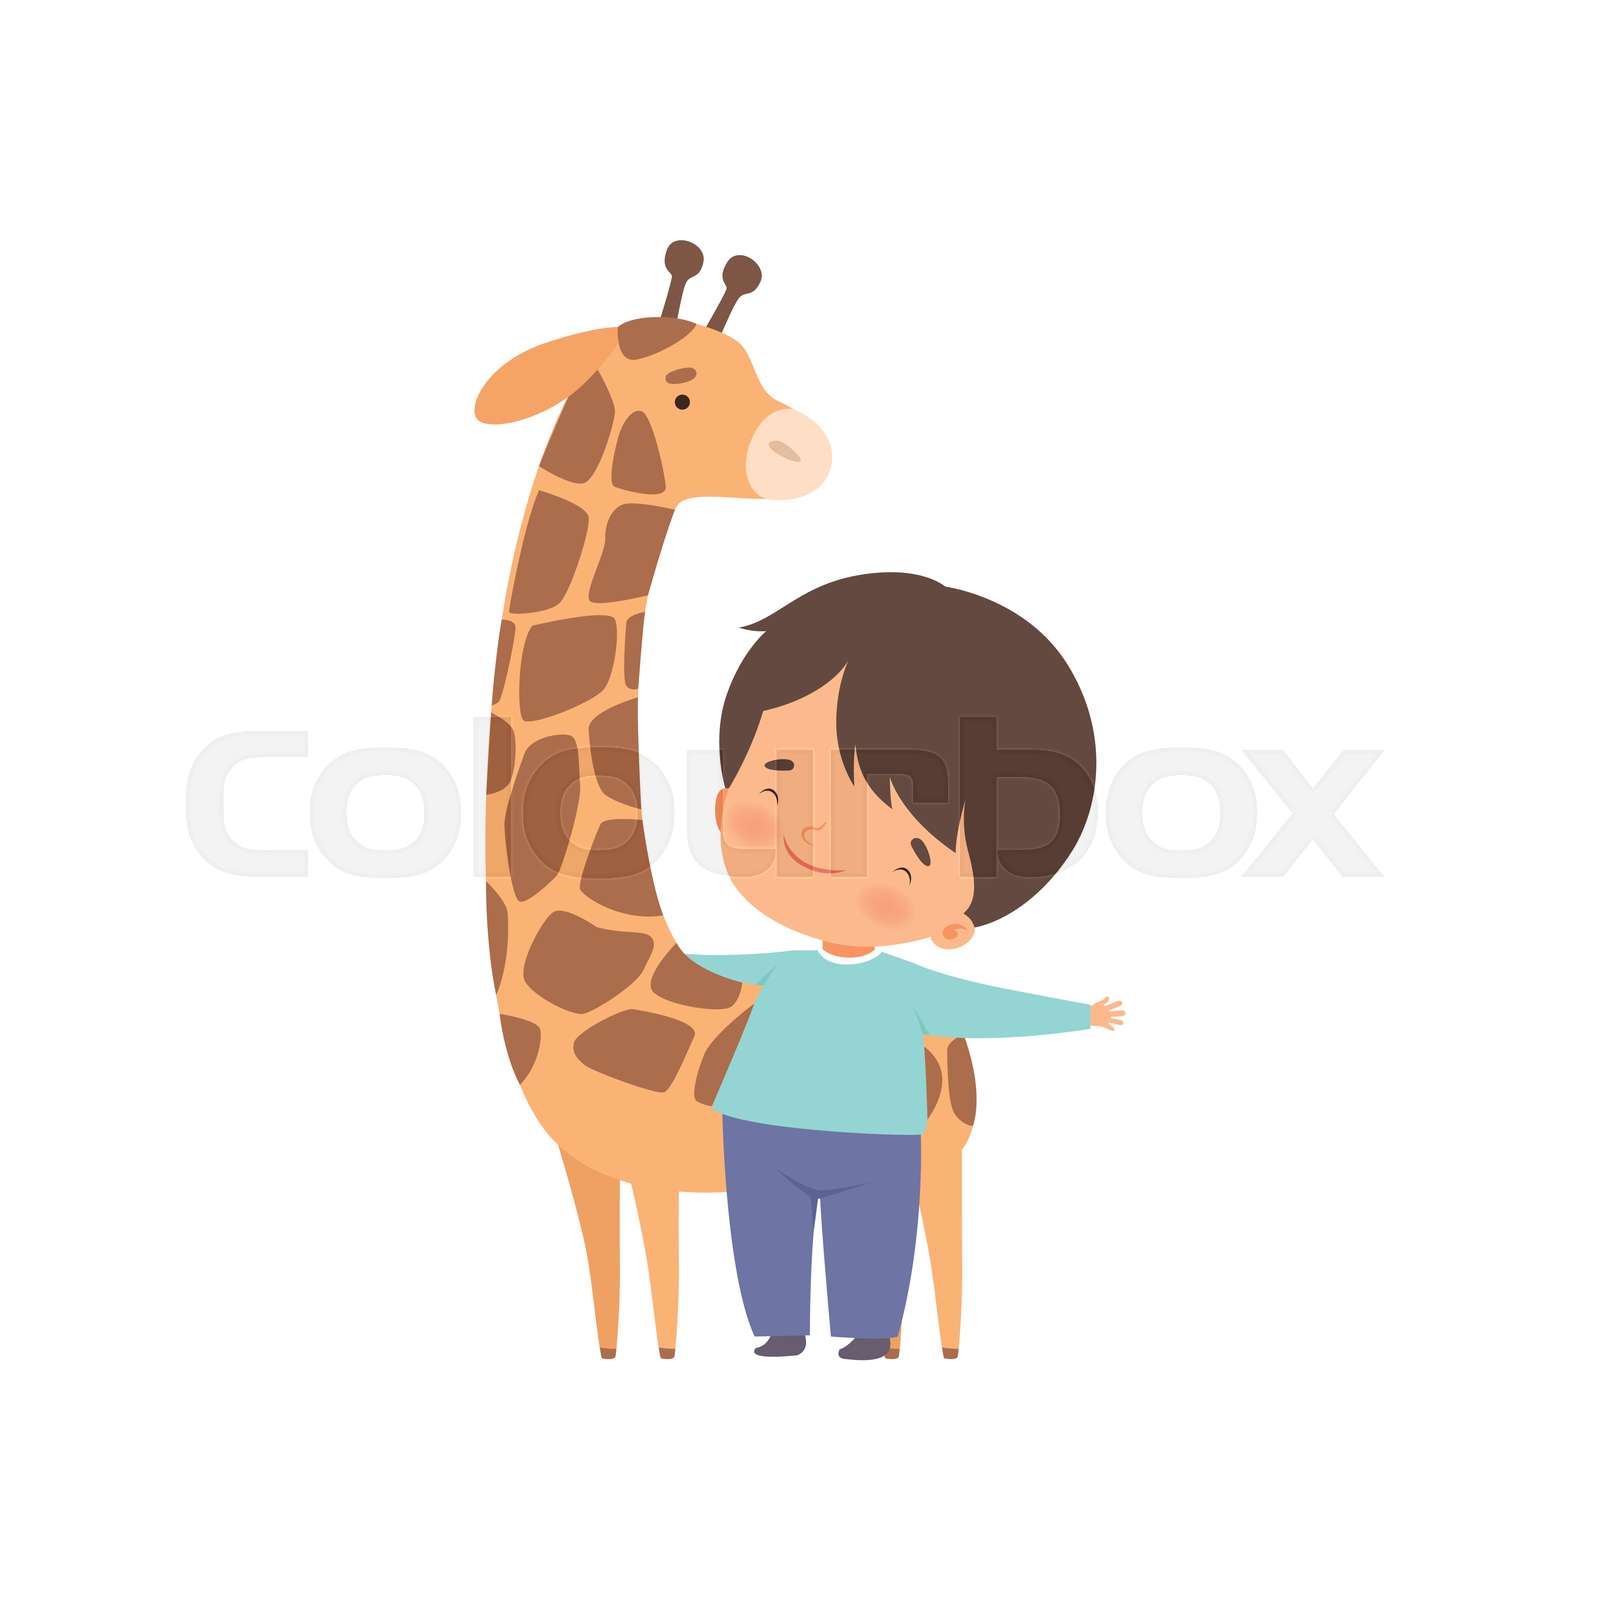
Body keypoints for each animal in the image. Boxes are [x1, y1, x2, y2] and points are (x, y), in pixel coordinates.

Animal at [479, 242, 976, 1359]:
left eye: (751, 369)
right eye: (682, 390)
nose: (804, 447)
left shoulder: (654, 1166)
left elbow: (662, 1315)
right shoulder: (596, 1162)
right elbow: (622, 1309)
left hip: (941, 1159)